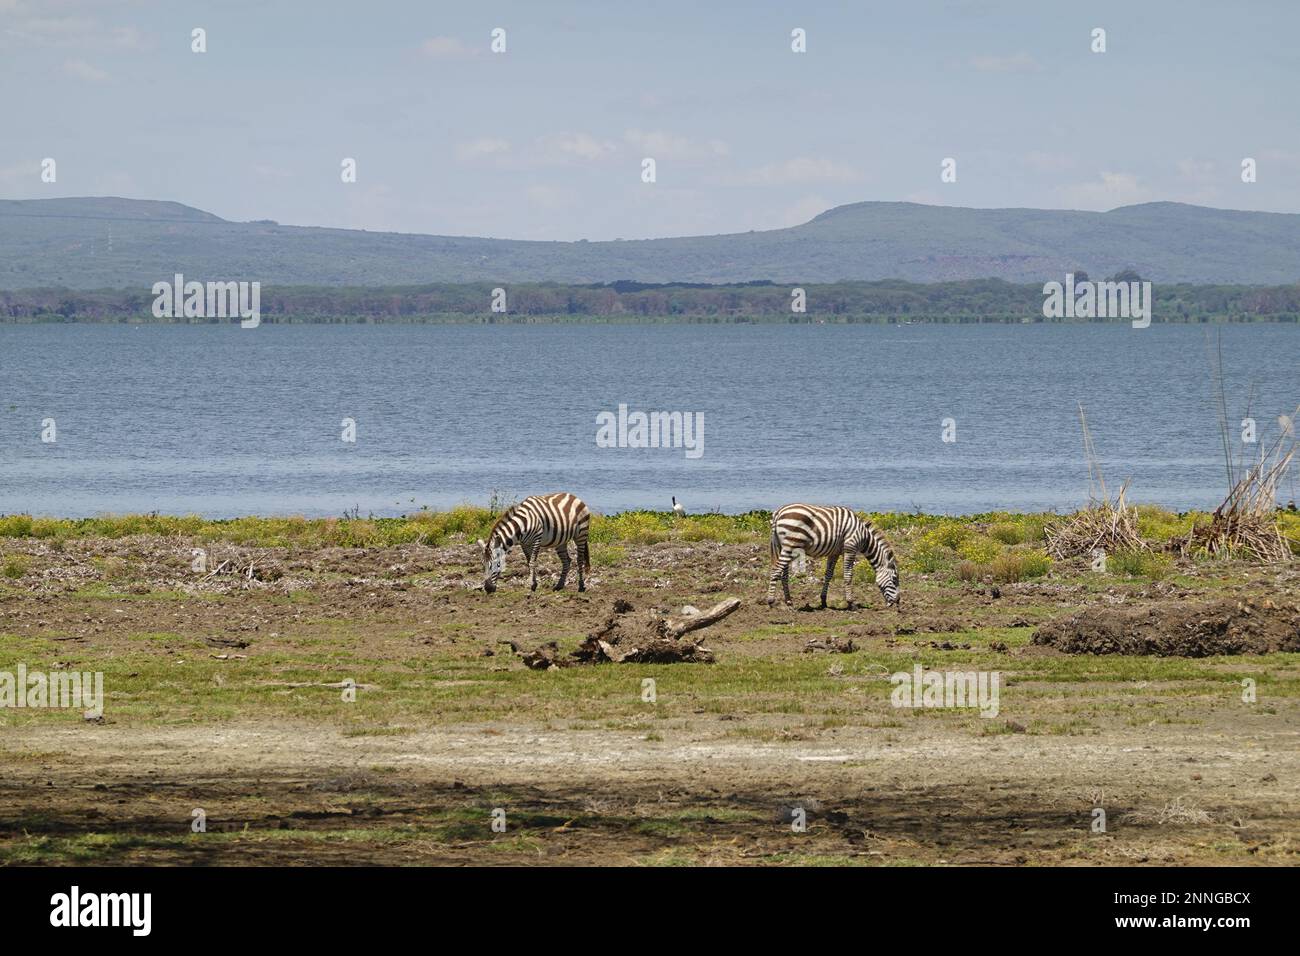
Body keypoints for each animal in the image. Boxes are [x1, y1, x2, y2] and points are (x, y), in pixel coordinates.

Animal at [766, 504, 900, 609]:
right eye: (894, 579)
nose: (898, 601)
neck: (863, 536)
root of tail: (778, 512)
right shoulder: (850, 548)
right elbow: (848, 575)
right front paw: (851, 603)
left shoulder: (834, 552)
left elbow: (829, 574)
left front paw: (823, 600)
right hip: (791, 545)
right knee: (776, 570)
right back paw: (771, 601)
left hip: (783, 546)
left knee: (783, 573)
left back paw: (789, 601)